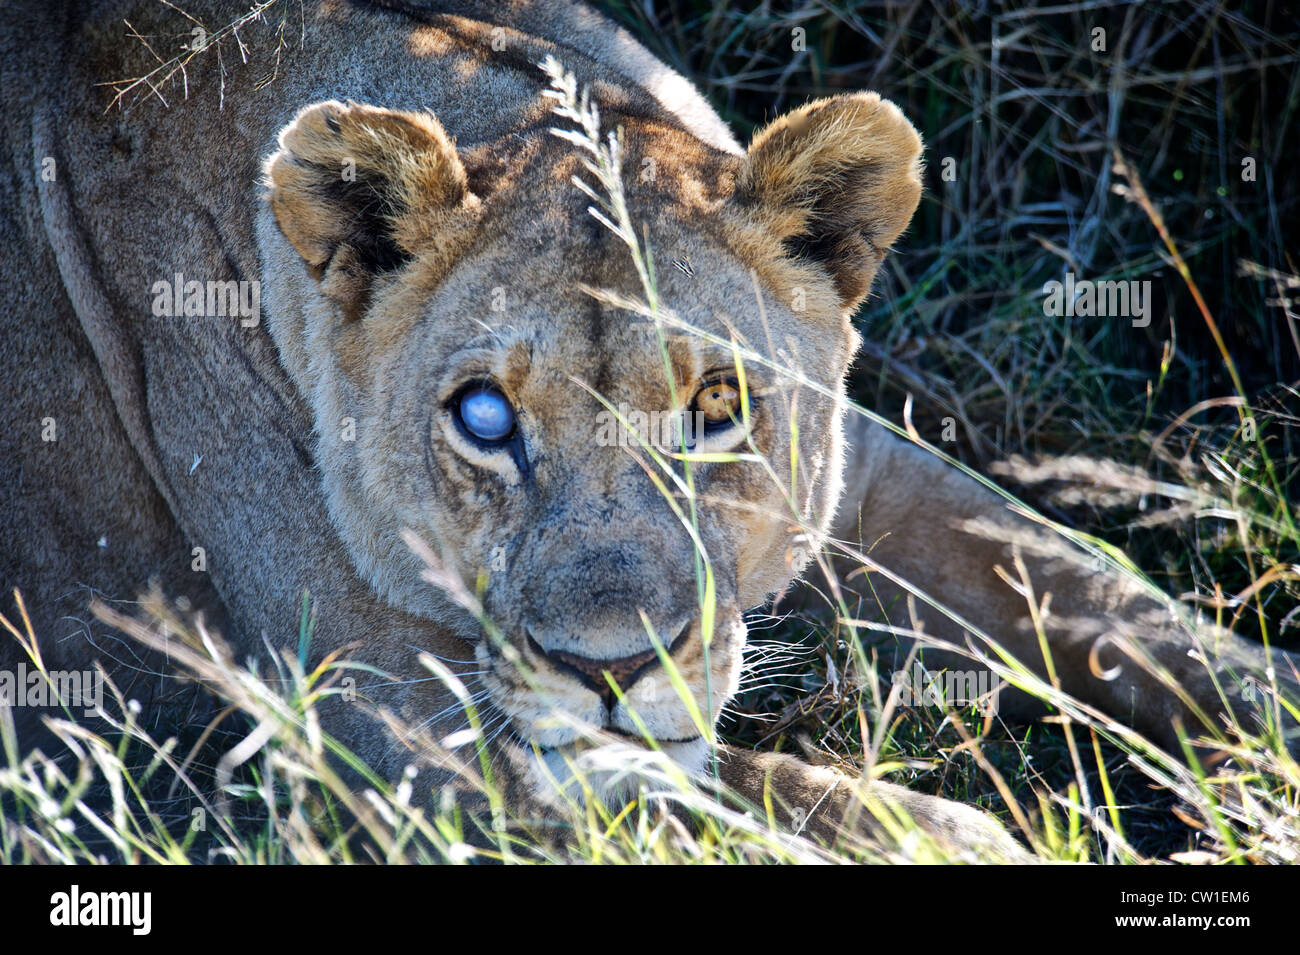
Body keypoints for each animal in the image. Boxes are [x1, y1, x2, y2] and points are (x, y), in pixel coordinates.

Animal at [1, 0, 1293, 861]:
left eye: (716, 407)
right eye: (483, 417)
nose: (613, 668)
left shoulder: (861, 471)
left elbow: (1085, 583)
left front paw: (1270, 715)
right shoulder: (394, 732)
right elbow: (763, 808)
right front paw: (966, 836)